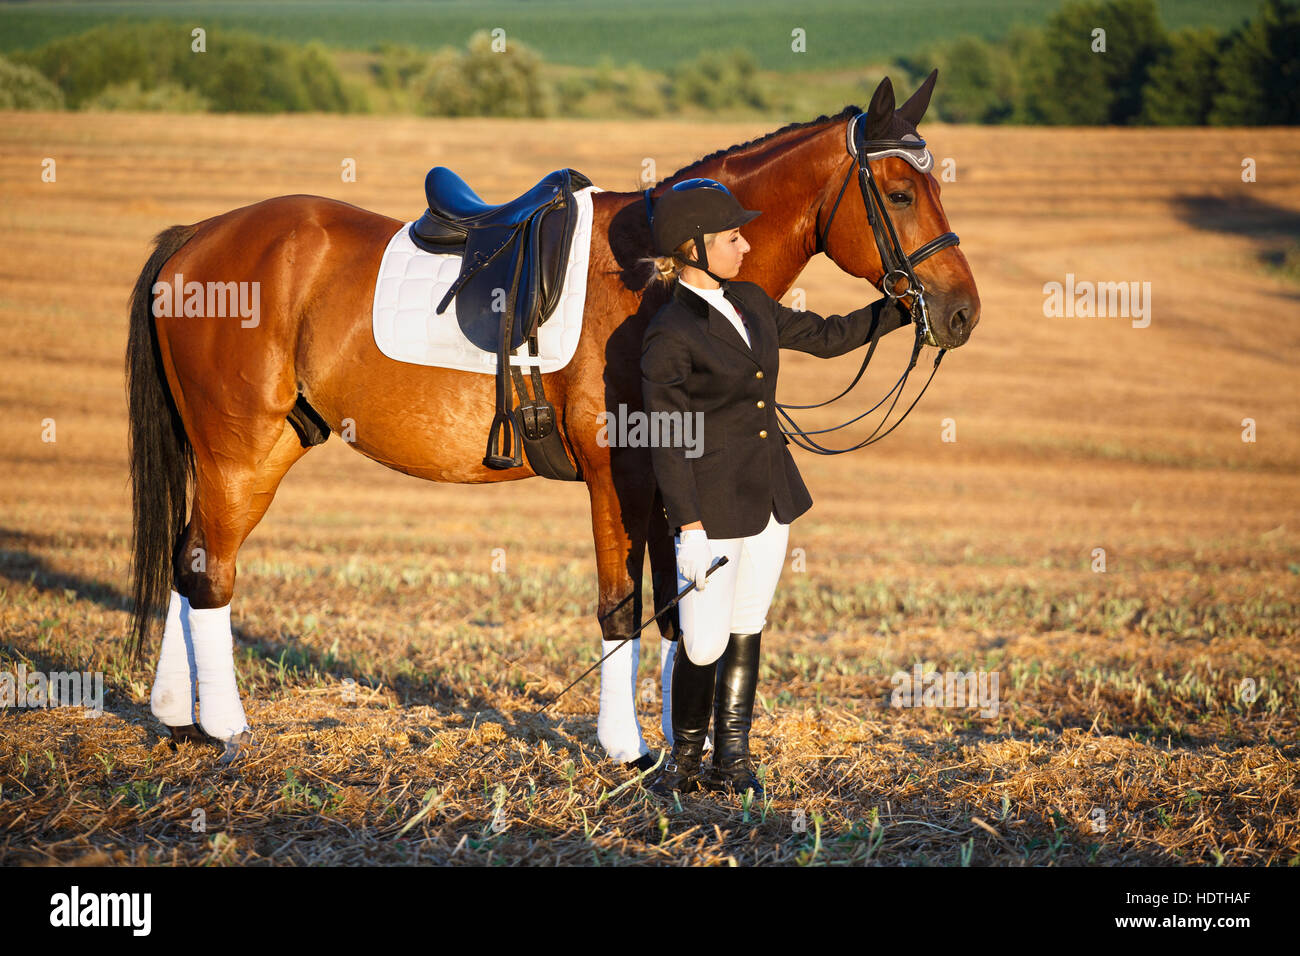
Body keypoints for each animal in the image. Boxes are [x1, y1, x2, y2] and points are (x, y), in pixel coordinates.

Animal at [125, 70, 980, 765]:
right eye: (900, 194)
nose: (961, 312)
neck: (658, 276)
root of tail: (195, 241)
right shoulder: (617, 477)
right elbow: (622, 606)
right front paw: (627, 749)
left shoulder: (667, 481)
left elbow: (679, 614)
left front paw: (681, 745)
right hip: (241, 452)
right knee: (210, 570)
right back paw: (226, 727)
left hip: (259, 448)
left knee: (189, 560)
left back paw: (177, 716)